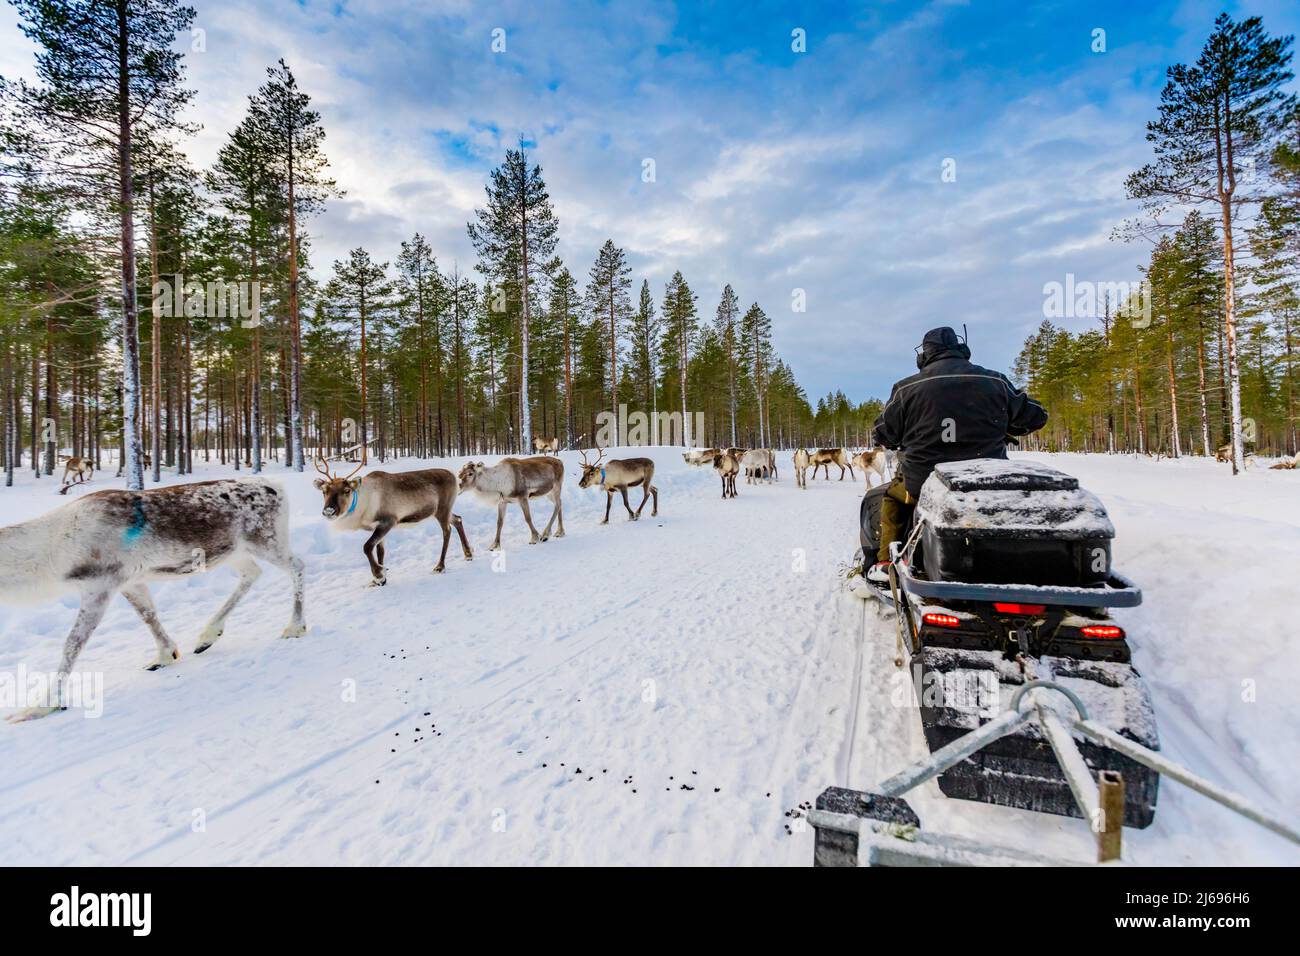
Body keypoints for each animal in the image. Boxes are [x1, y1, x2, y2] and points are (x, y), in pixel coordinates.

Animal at [0, 478, 306, 721]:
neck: (51, 555)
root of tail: (277, 485)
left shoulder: (100, 585)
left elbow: (72, 644)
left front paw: (40, 707)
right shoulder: (131, 582)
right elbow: (148, 615)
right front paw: (165, 655)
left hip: (266, 541)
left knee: (297, 566)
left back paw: (295, 627)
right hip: (234, 552)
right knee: (252, 574)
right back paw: (208, 635)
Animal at [314, 455, 471, 587]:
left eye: (346, 490)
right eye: (324, 491)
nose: (328, 511)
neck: (364, 504)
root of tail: (454, 476)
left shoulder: (388, 521)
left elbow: (367, 547)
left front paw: (379, 574)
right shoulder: (377, 527)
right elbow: (380, 551)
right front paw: (379, 580)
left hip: (442, 510)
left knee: (447, 531)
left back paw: (440, 566)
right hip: (443, 511)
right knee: (458, 519)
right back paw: (468, 554)